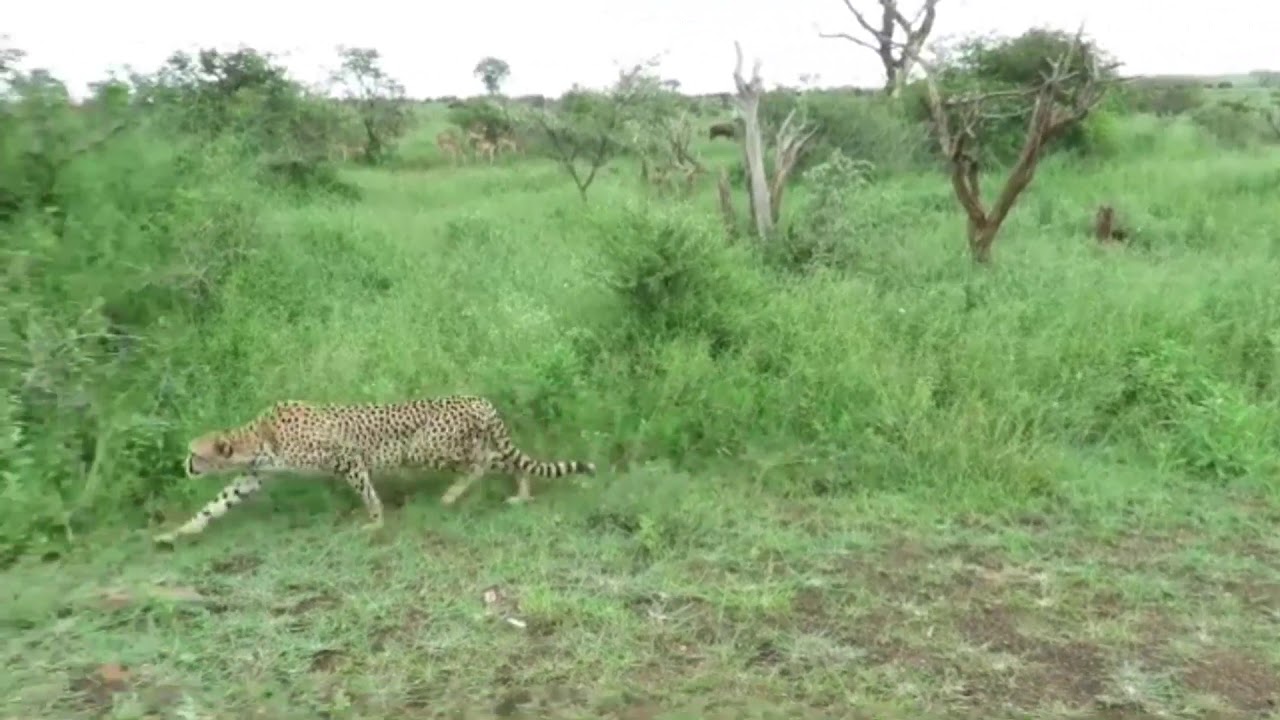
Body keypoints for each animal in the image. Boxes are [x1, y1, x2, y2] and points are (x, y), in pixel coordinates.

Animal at [153, 394, 595, 545]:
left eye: (195, 454)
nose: (184, 465)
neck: (258, 438)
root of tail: (477, 398)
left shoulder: (347, 458)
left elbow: (367, 492)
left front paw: (376, 523)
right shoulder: (252, 477)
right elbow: (215, 506)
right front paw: (176, 533)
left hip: (425, 447)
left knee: (482, 462)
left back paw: (453, 494)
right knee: (504, 460)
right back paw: (521, 493)